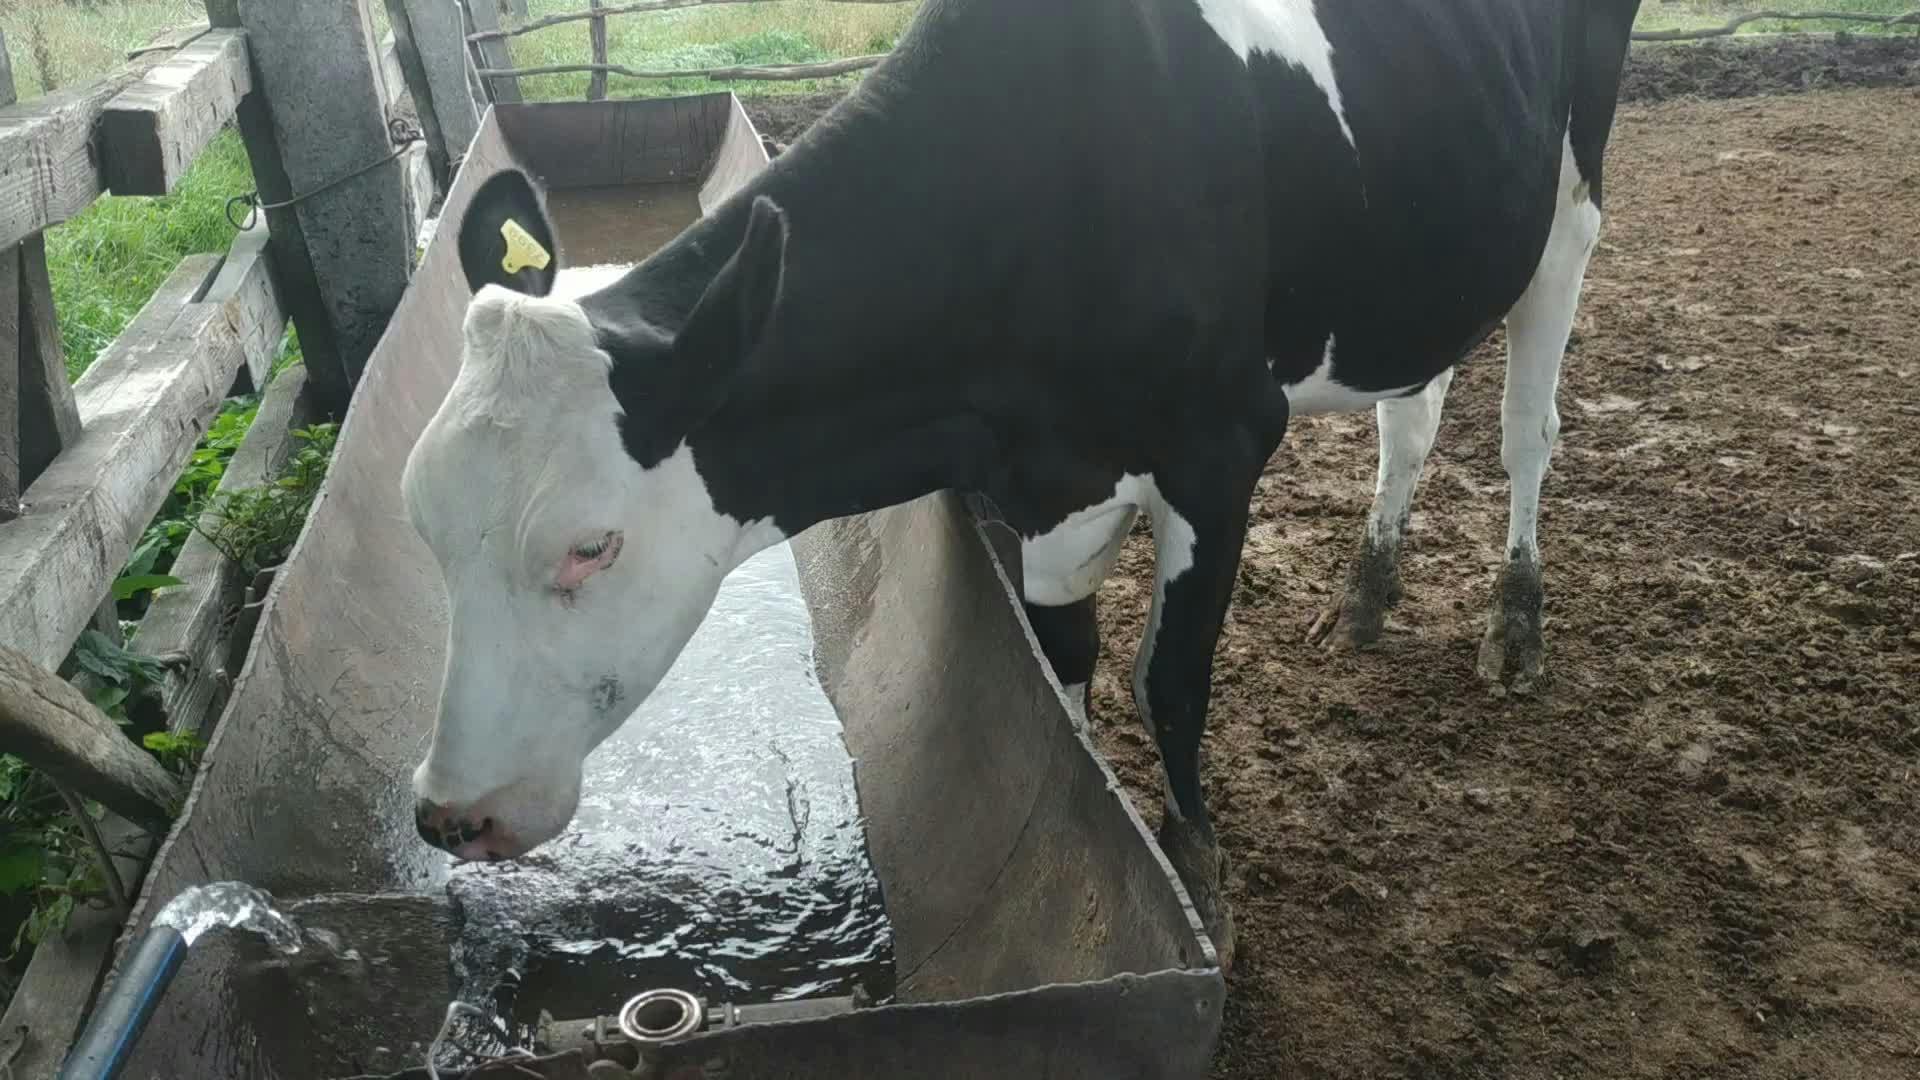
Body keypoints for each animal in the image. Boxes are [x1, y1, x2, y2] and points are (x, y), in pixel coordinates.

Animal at [401, 0, 1645, 972]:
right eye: (427, 532)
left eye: (590, 545)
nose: (449, 812)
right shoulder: (1039, 489)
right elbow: (1067, 675)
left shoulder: (1219, 446)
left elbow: (1168, 681)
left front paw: (1198, 866)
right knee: (1412, 409)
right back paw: (1370, 594)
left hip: (1568, 191)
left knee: (1528, 426)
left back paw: (1516, 622)